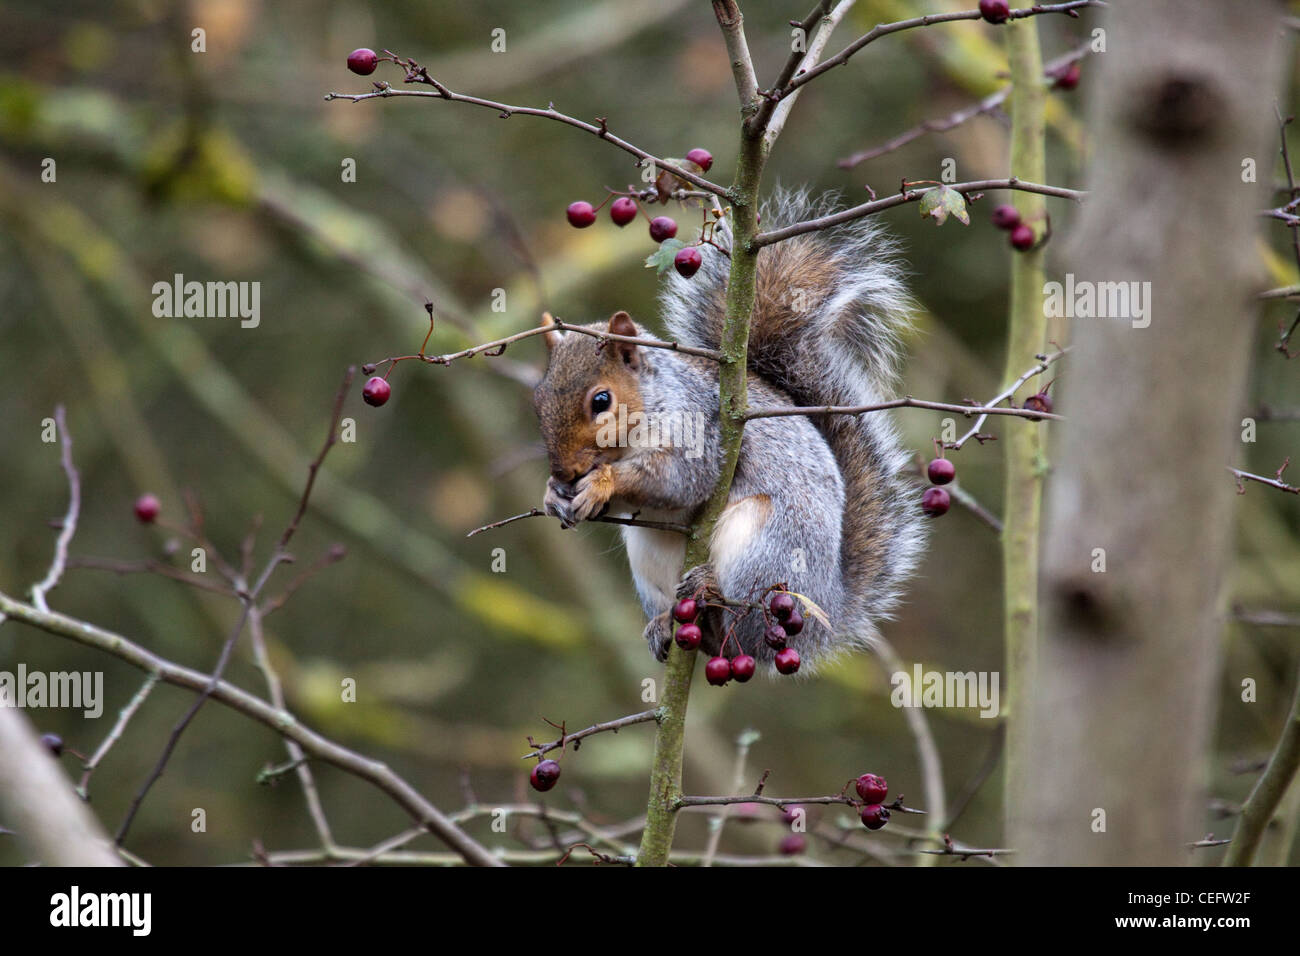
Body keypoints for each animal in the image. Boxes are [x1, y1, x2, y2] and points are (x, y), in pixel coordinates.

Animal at [533, 189, 924, 673]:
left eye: (601, 401)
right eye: (538, 397)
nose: (565, 472)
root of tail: (826, 611)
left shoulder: (698, 430)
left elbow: (679, 480)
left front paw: (602, 482)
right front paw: (552, 494)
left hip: (770, 548)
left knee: (748, 630)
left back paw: (713, 593)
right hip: (647, 558)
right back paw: (665, 625)